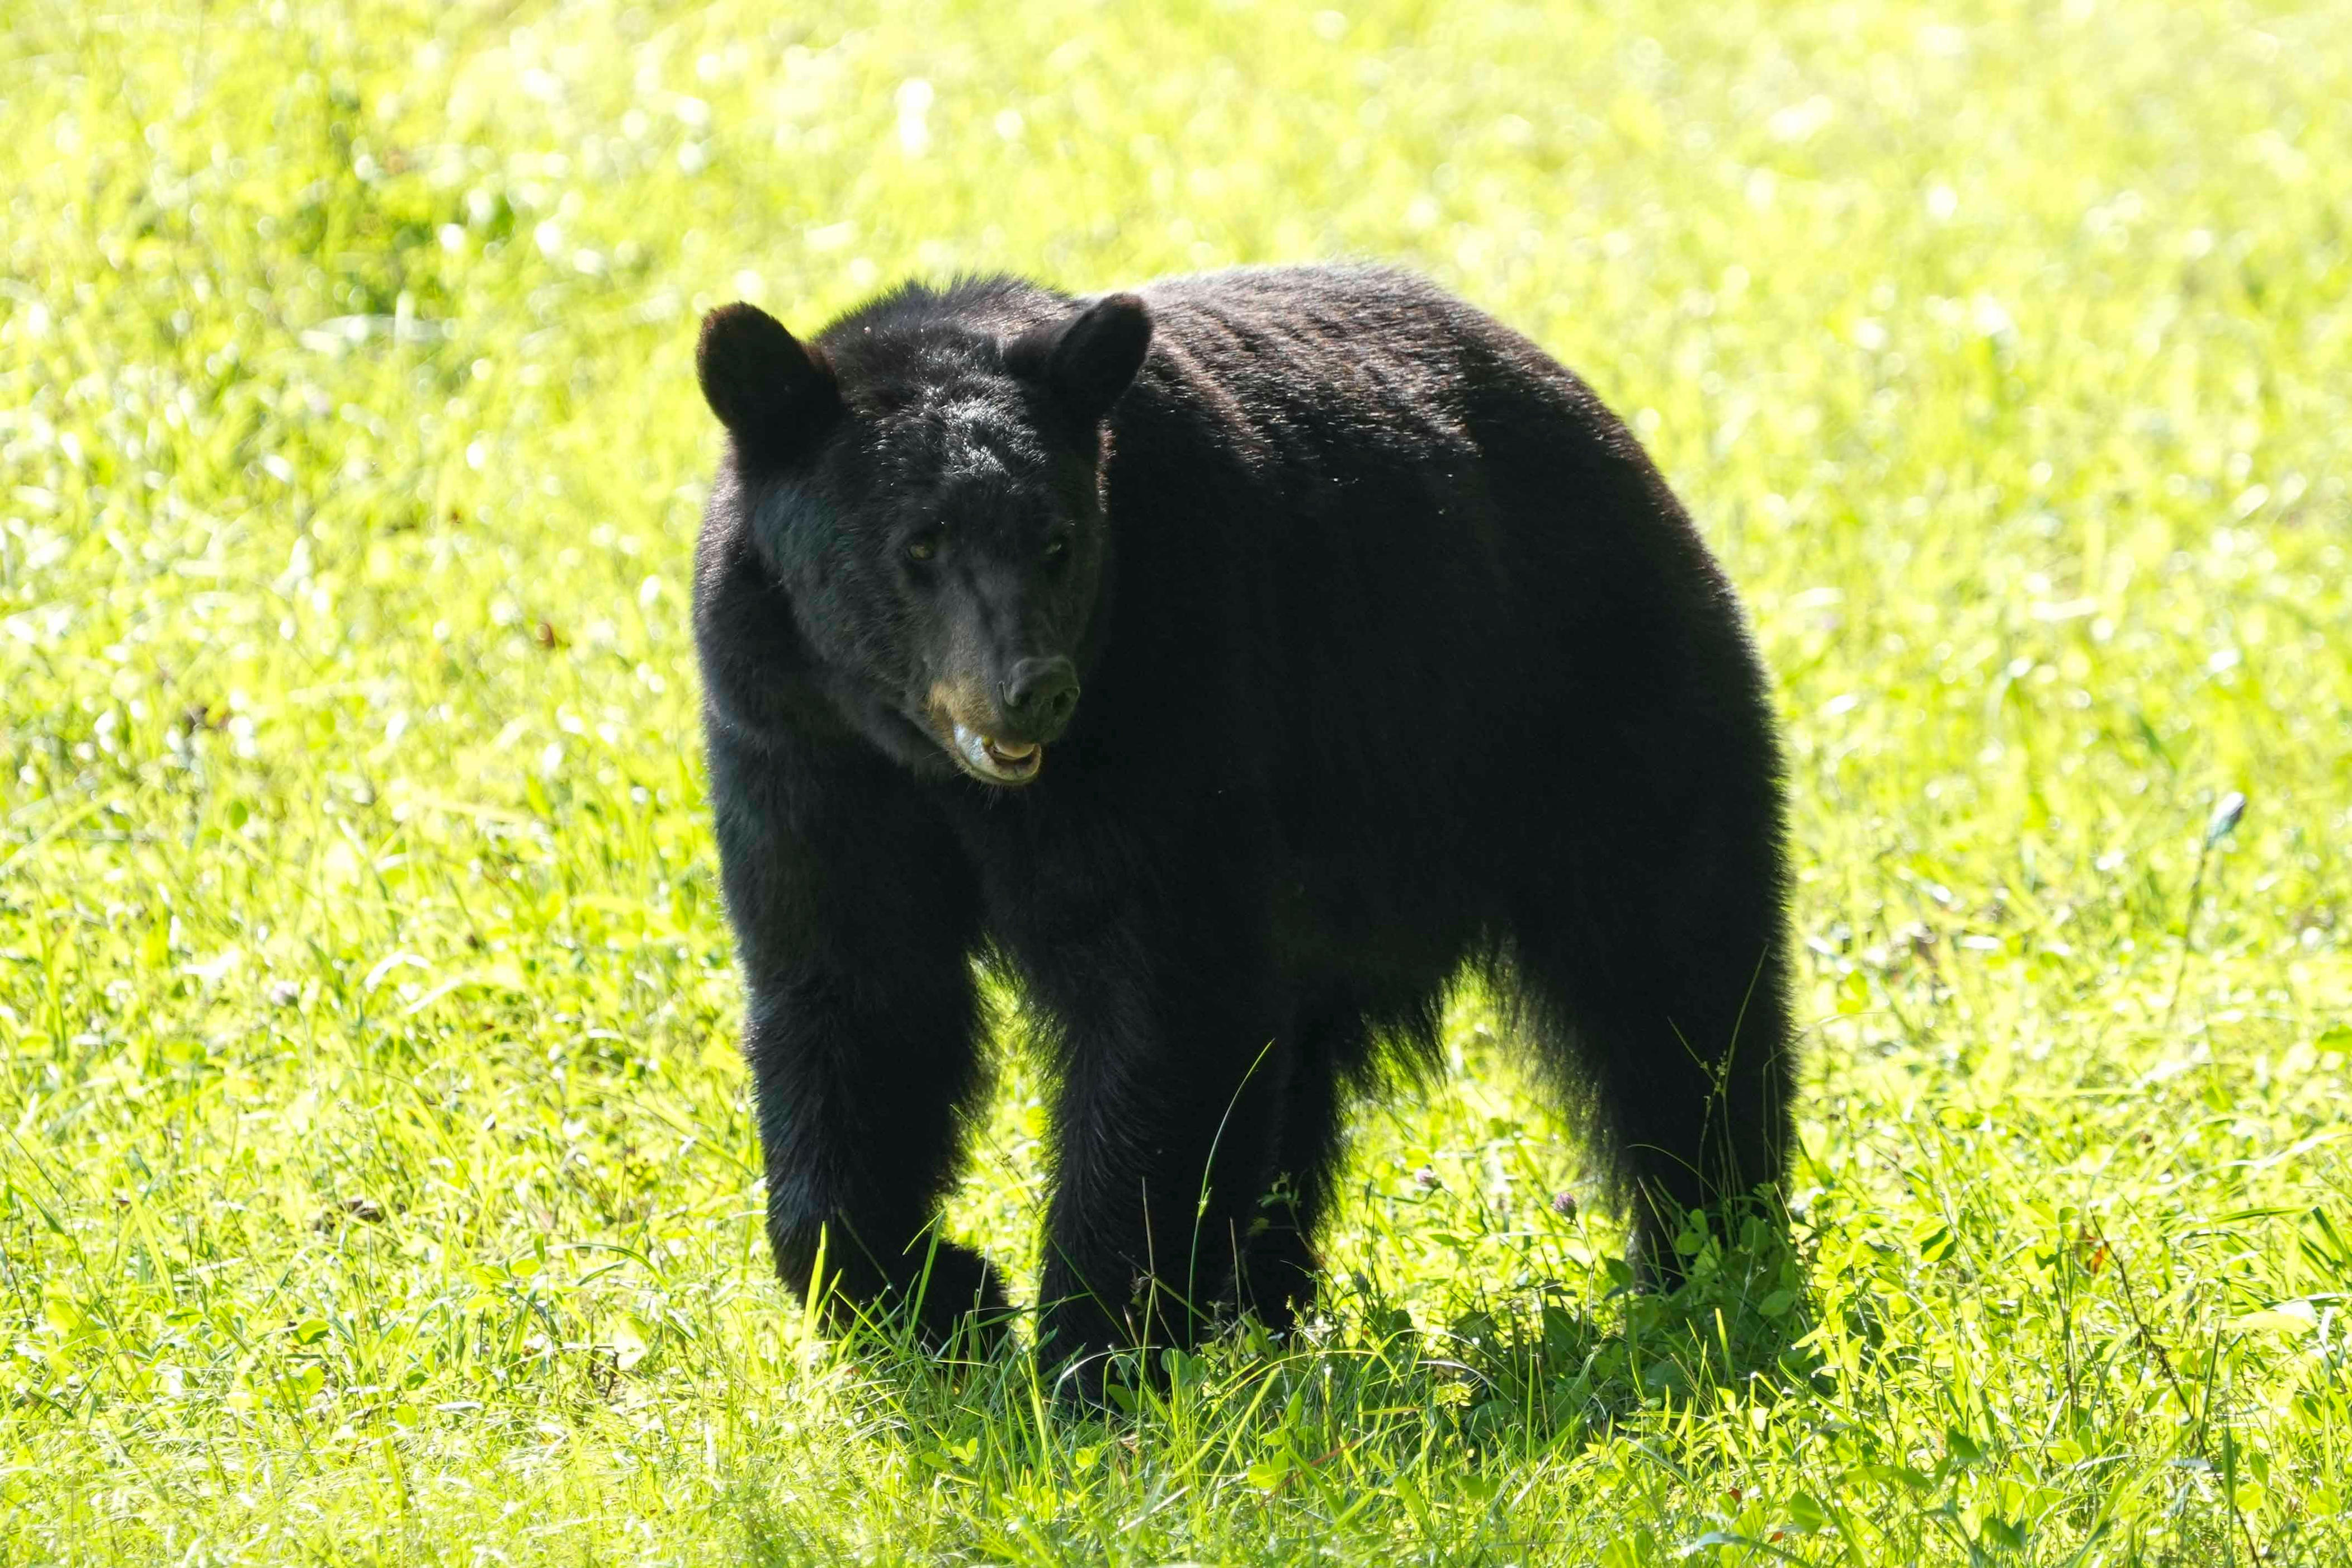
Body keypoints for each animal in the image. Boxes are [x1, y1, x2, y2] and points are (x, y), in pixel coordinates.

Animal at [690, 264, 1794, 1395]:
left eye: (1056, 543)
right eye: (919, 543)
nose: (1035, 691)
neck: (923, 761)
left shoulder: (1171, 687)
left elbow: (1163, 995)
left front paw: (1093, 1347)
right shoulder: (798, 750)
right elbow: (852, 995)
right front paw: (936, 1298)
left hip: (1591, 712)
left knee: (1675, 986)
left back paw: (1710, 1250)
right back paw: (1260, 1300)